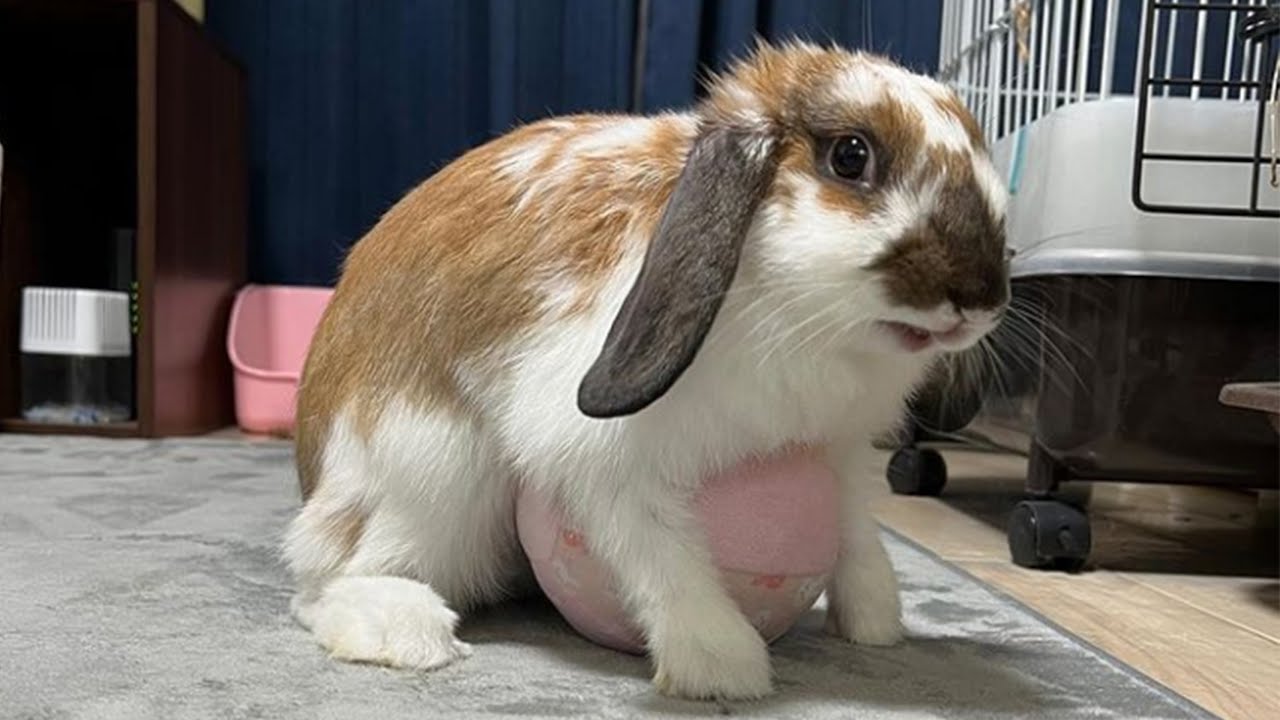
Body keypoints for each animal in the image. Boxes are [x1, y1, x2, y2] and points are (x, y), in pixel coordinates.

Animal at [282, 39, 1009, 701]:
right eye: (851, 156)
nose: (979, 296)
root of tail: (313, 473)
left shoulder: (841, 450)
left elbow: (857, 534)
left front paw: (877, 624)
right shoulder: (606, 466)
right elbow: (666, 558)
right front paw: (722, 667)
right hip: (436, 472)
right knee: (326, 588)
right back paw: (405, 633)